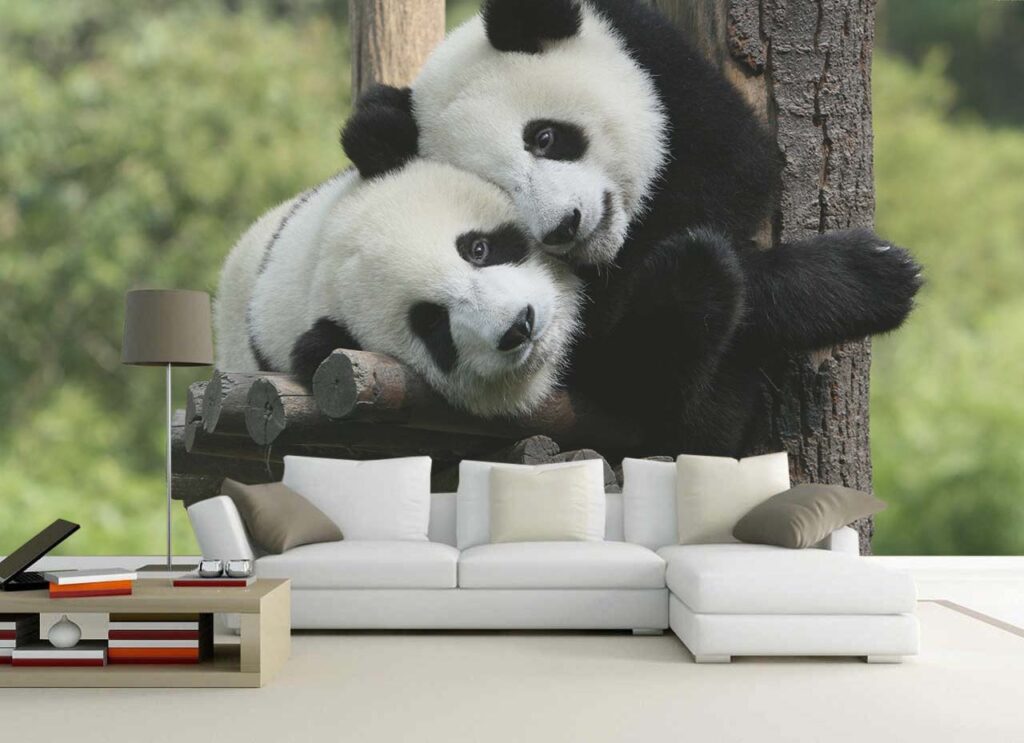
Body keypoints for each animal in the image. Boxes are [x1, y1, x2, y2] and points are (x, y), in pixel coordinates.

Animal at [341, 0, 923, 455]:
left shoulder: (667, 76)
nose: (564, 226)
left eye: (545, 137)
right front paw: (870, 277)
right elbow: (614, 353)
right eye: (499, 190)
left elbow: (736, 168)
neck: (617, 244)